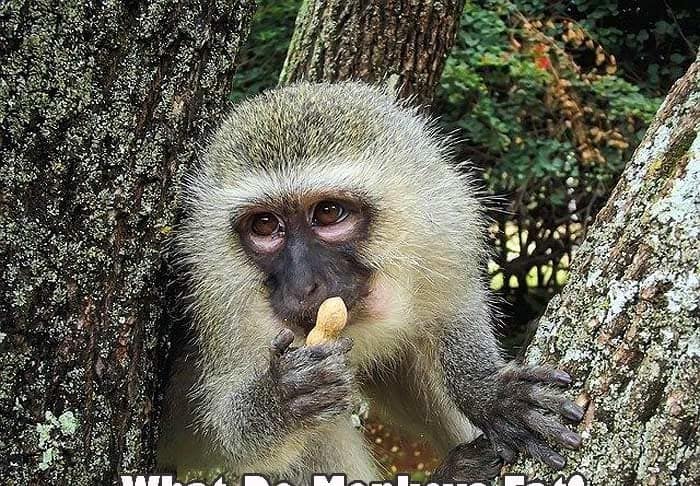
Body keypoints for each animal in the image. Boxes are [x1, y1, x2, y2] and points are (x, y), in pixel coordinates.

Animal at [157, 82, 584, 484]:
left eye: (329, 213)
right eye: (264, 225)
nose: (303, 285)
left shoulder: (440, 232)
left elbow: (455, 310)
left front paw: (486, 392)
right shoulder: (221, 298)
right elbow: (229, 429)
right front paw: (280, 399)